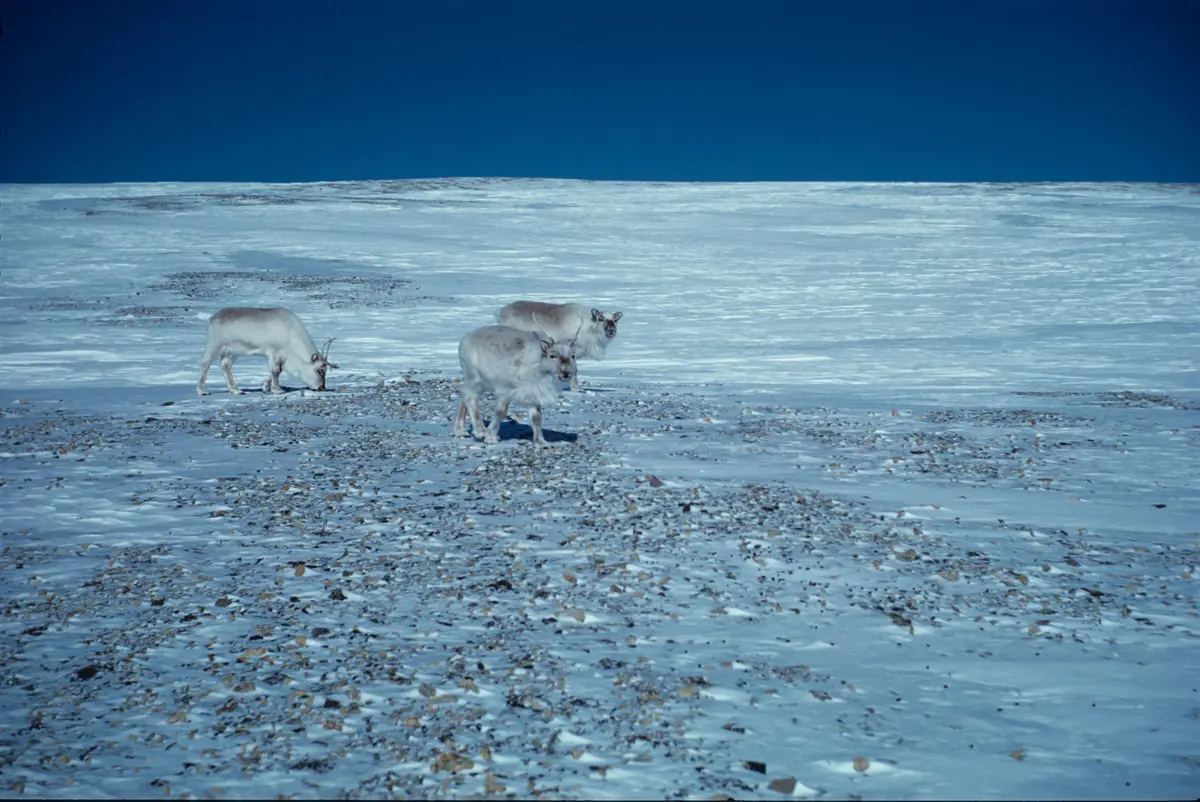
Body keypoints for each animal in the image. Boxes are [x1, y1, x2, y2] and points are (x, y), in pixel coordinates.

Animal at [197, 307, 337, 396]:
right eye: (319, 371)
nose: (321, 388)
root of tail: (212, 319)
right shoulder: (274, 351)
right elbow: (275, 371)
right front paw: (277, 390)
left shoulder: (282, 356)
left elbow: (278, 371)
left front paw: (265, 386)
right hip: (215, 344)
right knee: (205, 363)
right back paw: (202, 391)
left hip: (232, 352)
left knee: (225, 366)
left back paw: (236, 390)